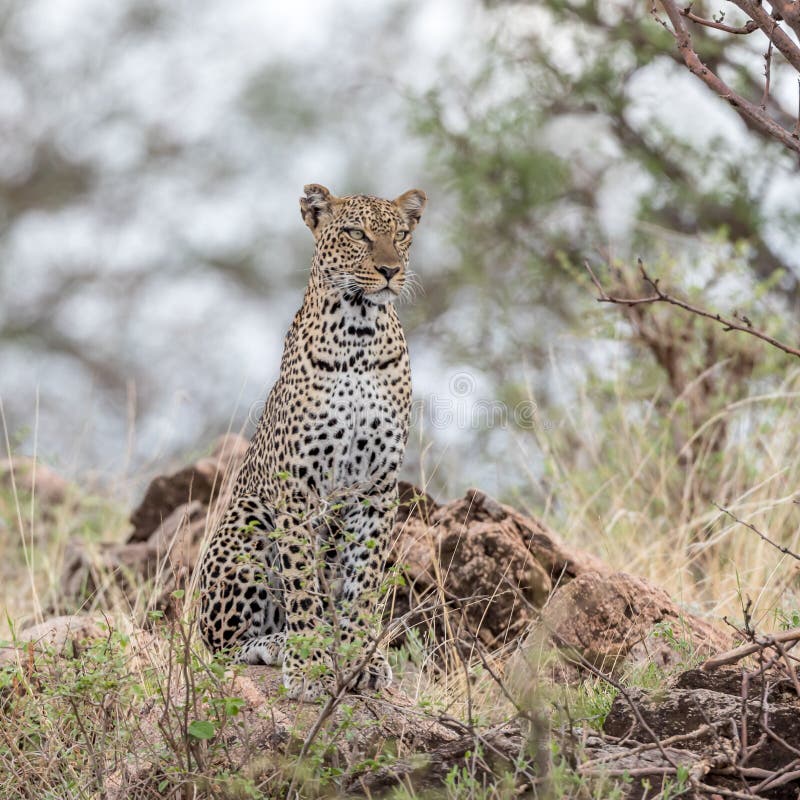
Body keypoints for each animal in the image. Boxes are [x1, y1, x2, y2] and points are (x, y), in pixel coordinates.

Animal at [196, 183, 426, 701]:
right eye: (357, 234)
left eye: (401, 235)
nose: (390, 270)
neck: (360, 334)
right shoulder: (297, 487)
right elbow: (302, 582)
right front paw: (308, 665)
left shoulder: (377, 487)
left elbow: (364, 584)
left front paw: (362, 659)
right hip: (247, 520)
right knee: (223, 648)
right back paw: (279, 643)